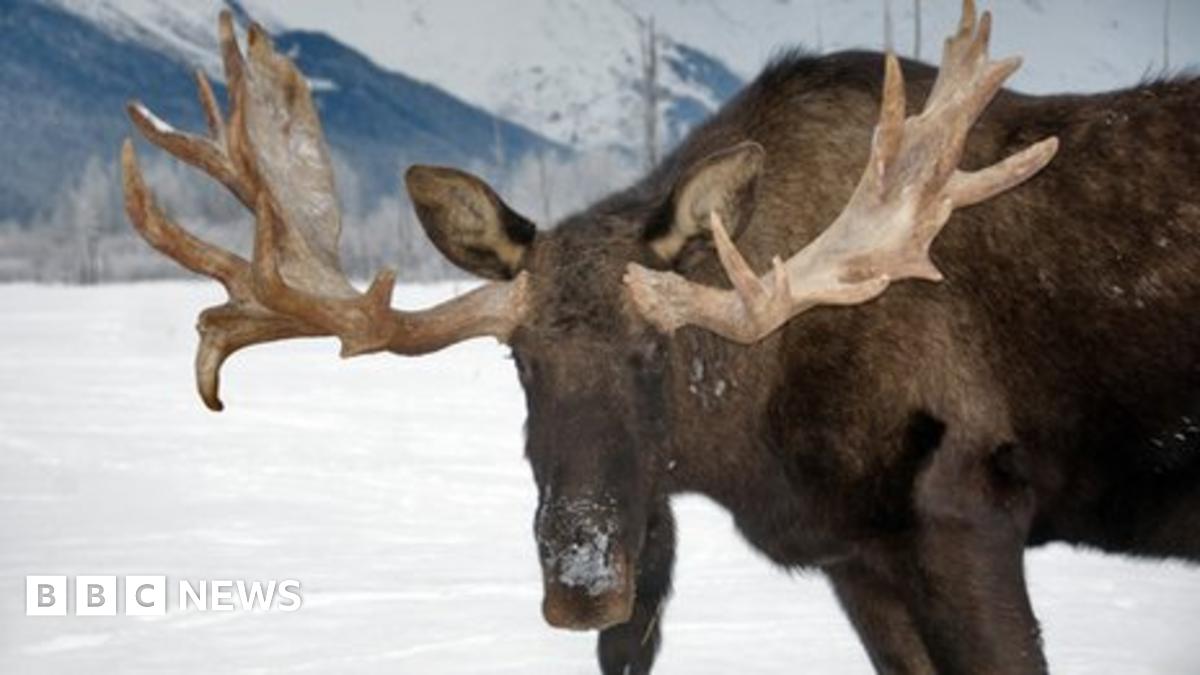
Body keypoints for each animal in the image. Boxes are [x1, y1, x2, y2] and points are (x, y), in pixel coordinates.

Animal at [122, 2, 1200, 673]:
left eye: (657, 353)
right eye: (518, 362)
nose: (582, 582)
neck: (756, 447)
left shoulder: (967, 508)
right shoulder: (859, 559)